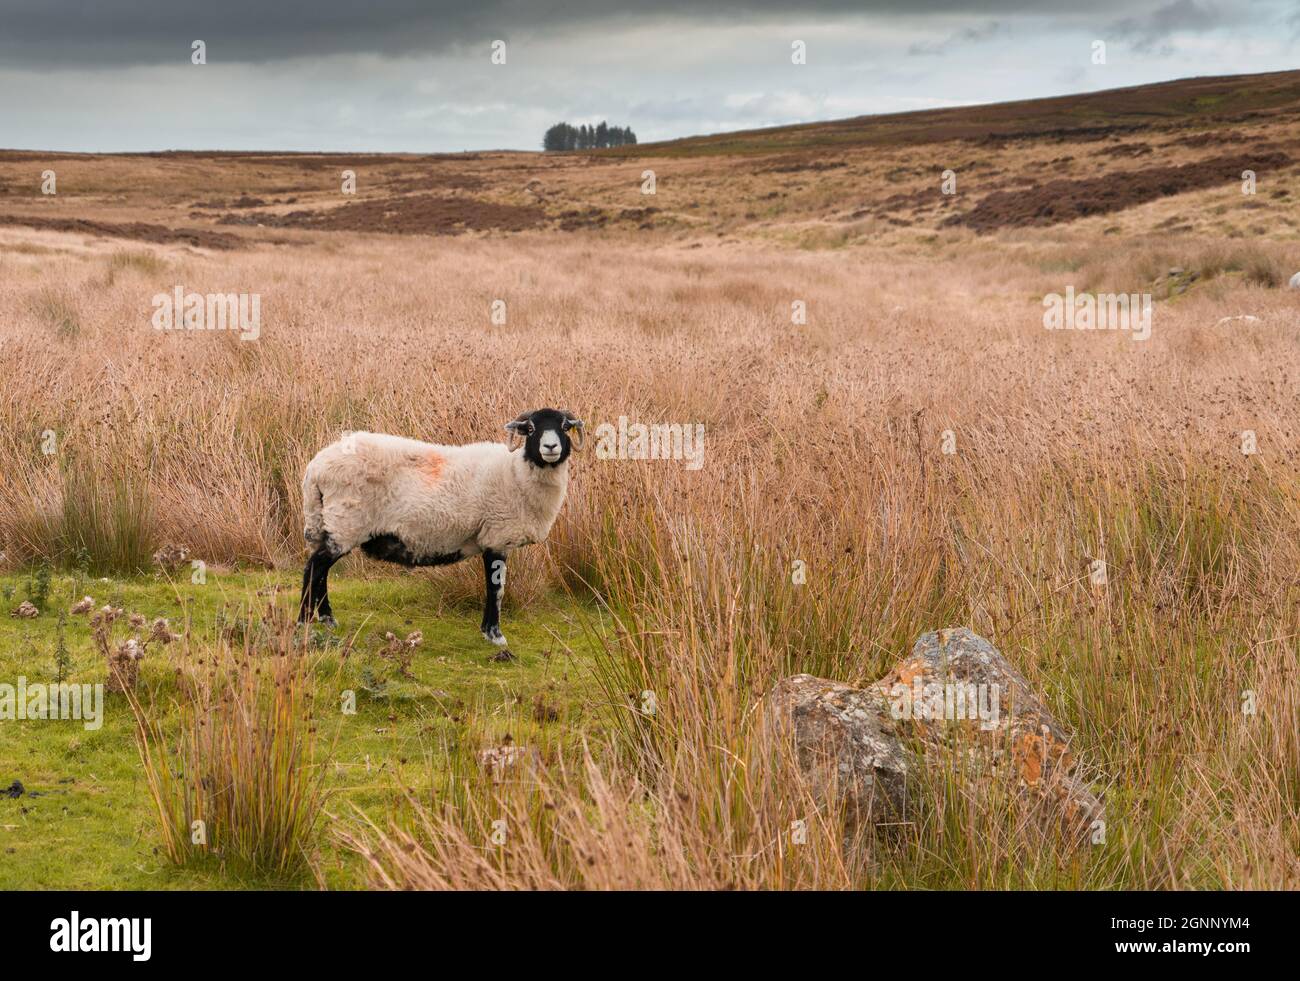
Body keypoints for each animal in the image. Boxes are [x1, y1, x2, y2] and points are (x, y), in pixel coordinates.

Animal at [298, 408, 583, 647]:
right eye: (531, 428)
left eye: (564, 427)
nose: (550, 446)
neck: (516, 474)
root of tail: (316, 467)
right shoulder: (497, 536)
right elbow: (496, 589)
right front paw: (495, 634)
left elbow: (492, 587)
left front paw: (486, 630)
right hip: (346, 522)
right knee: (314, 568)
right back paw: (305, 619)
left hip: (333, 524)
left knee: (320, 569)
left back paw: (326, 619)